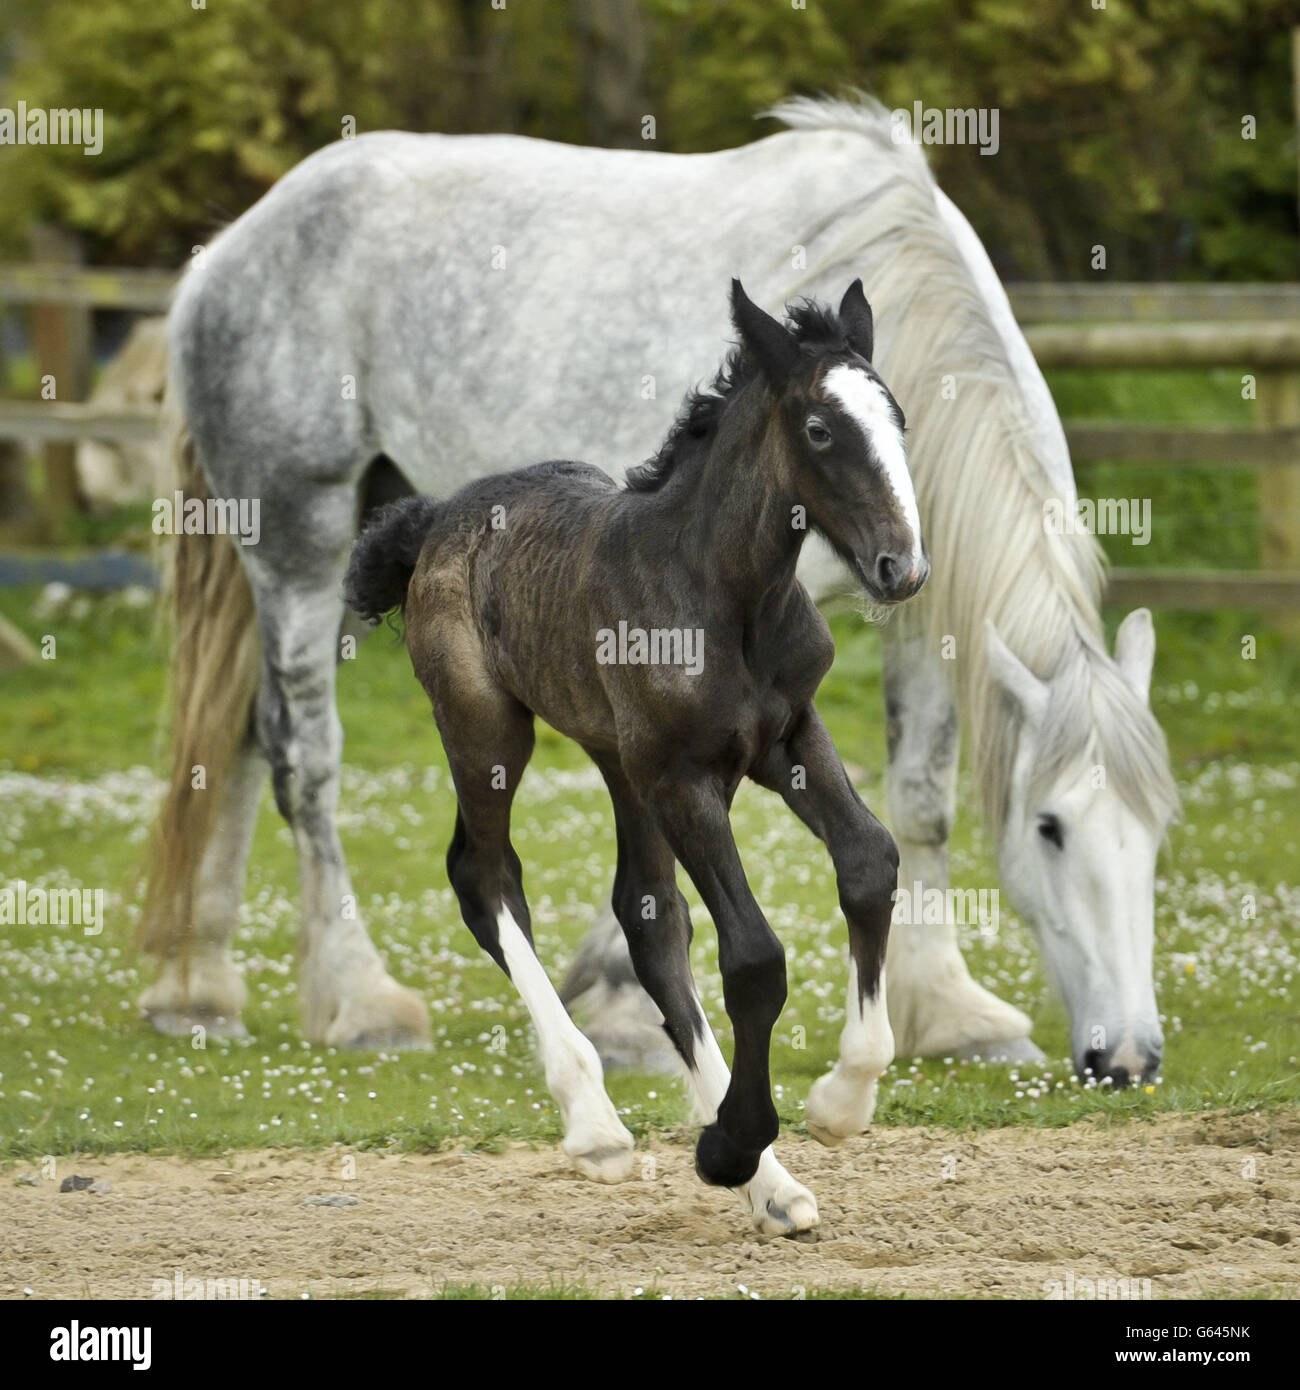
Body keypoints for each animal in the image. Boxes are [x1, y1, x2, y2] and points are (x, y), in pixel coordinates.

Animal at [137, 94, 1177, 1086]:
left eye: (1160, 826)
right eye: (1049, 828)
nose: (1126, 1058)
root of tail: (225, 256)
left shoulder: (913, 610)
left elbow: (920, 799)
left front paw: (955, 1015)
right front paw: (627, 1009)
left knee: (237, 740)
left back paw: (198, 992)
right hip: (298, 547)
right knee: (303, 758)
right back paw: (358, 999)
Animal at [341, 279, 924, 1235]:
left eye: (898, 418)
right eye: (819, 429)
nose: (900, 567)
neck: (725, 594)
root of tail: (437, 517)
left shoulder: (787, 736)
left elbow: (870, 861)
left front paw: (841, 1103)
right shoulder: (684, 777)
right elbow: (754, 955)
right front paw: (730, 1147)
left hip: (620, 761)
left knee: (649, 918)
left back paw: (775, 1186)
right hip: (489, 731)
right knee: (486, 875)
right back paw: (598, 1126)